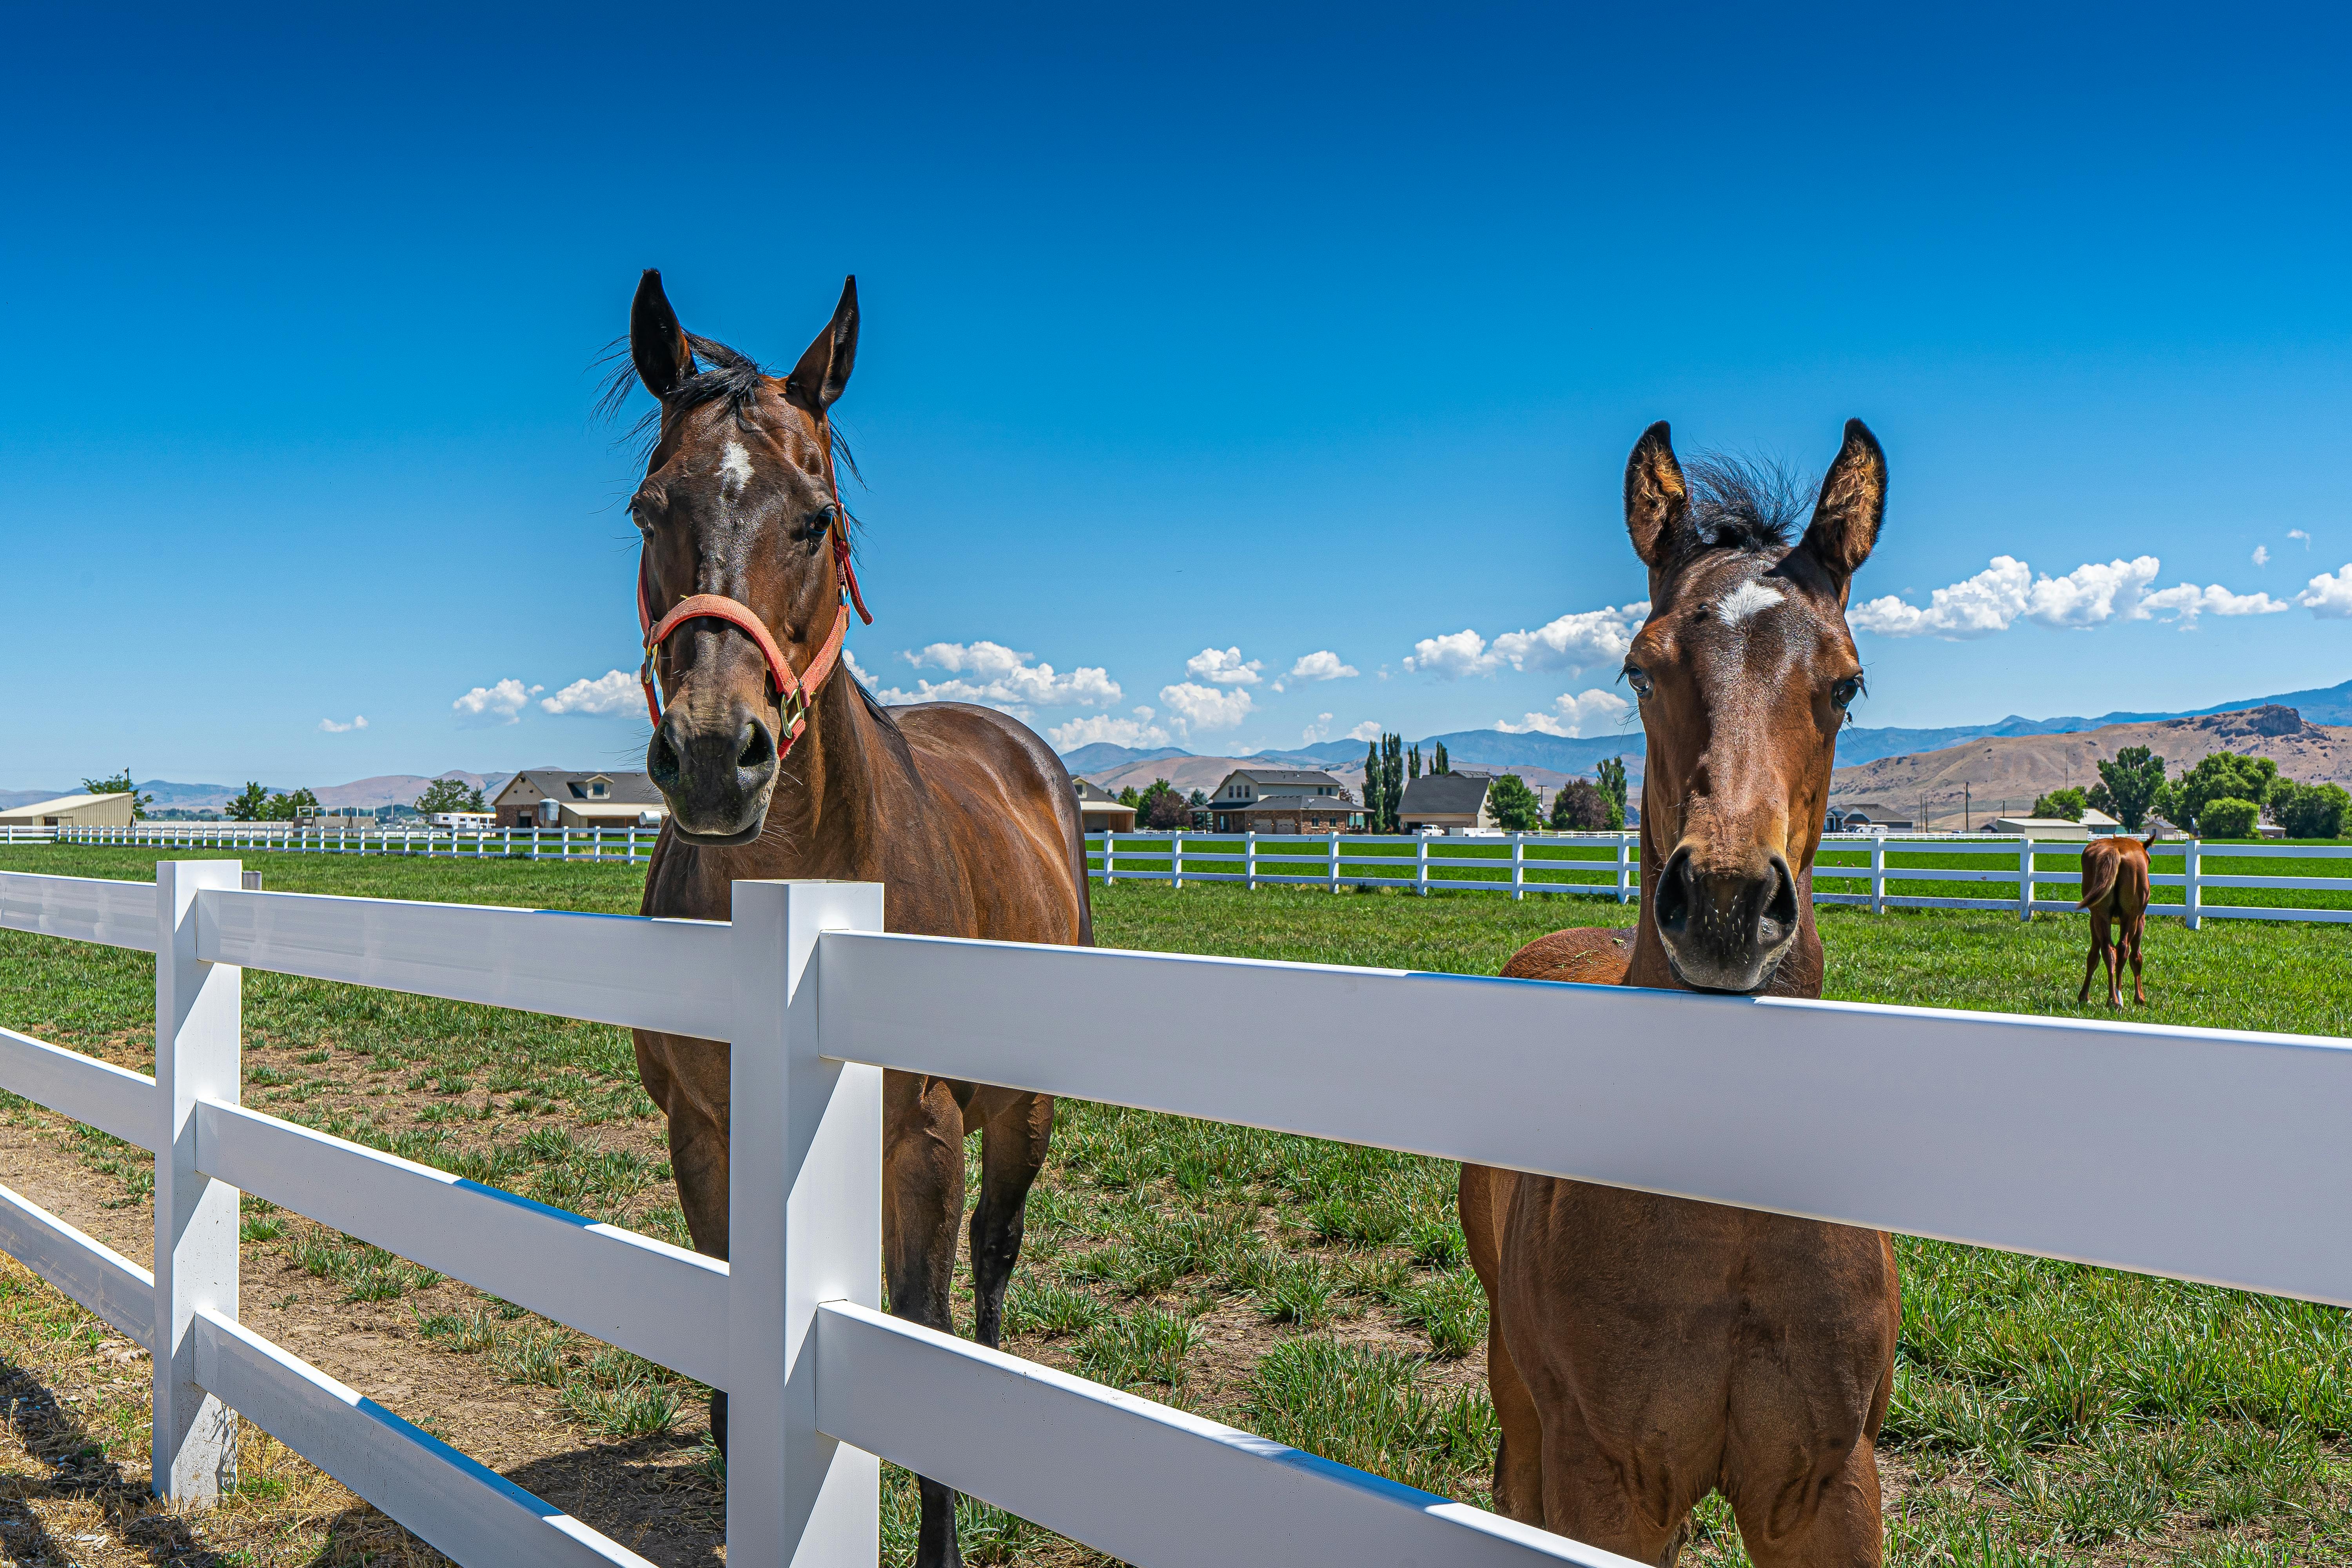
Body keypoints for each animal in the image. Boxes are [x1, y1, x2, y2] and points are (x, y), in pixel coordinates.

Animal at [615, 271, 1091, 1568]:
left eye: (815, 518)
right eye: (647, 508)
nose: (715, 756)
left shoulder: (923, 1139)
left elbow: (924, 1340)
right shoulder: (706, 1133)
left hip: (1015, 1112)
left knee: (988, 1274)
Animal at [1460, 421, 1903, 1566]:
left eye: (1846, 684)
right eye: (1640, 670)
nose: (1725, 900)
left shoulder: (1827, 1489)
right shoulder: (1606, 1482)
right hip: (1517, 1384)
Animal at [2076, 832, 2153, 1005]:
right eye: (2150, 860)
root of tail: (2115, 850)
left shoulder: (2094, 920)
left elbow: (2093, 956)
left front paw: (2084, 996)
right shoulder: (2140, 920)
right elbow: (2136, 957)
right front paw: (2140, 998)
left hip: (2101, 916)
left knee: (2108, 950)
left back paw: (2113, 999)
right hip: (2131, 919)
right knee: (2123, 949)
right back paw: (2118, 998)